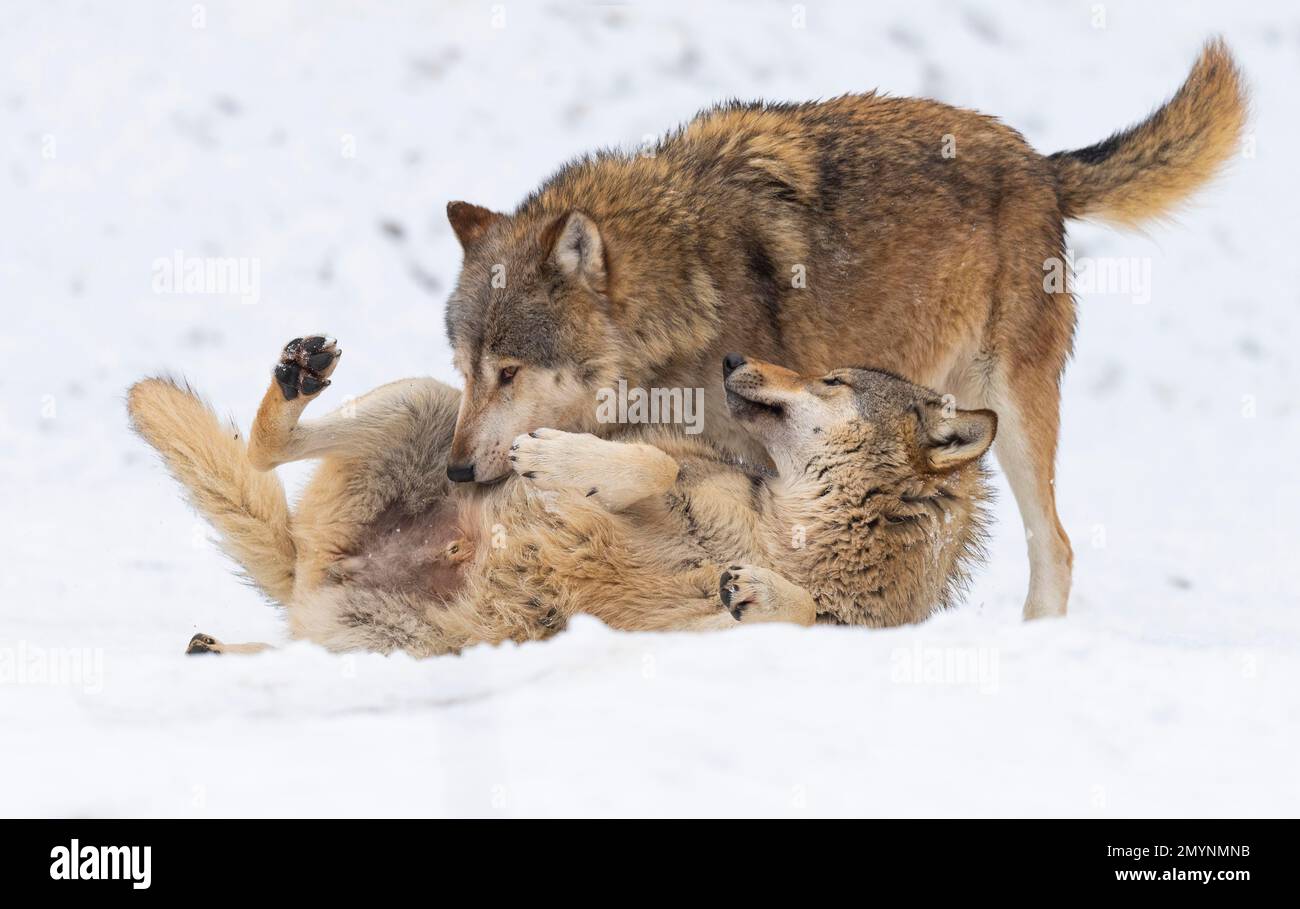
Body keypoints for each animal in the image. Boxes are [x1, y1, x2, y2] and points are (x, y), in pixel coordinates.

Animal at [126, 337, 995, 656]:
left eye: (833, 381)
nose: (734, 358)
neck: (789, 535)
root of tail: (308, 565)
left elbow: (805, 612)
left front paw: (756, 589)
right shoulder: (671, 463)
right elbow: (652, 467)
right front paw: (560, 459)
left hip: (407, 649)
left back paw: (214, 649)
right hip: (430, 405)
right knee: (264, 447)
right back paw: (297, 376)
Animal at [440, 39, 1247, 621]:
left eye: (508, 372)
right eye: (465, 371)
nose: (453, 473)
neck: (686, 288)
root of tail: (1040, 165)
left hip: (1012, 415)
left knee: (1057, 546)